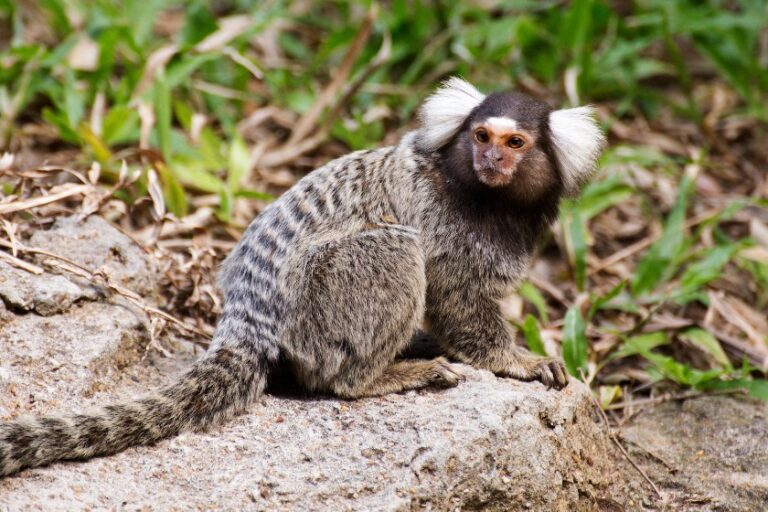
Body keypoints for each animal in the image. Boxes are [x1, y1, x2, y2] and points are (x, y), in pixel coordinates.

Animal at [0, 77, 605, 477]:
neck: (485, 197)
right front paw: (517, 361)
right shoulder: (445, 223)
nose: (491, 161)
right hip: (322, 296)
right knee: (393, 256)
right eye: (481, 136)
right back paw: (381, 376)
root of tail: (248, 315)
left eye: (515, 143)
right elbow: (456, 298)